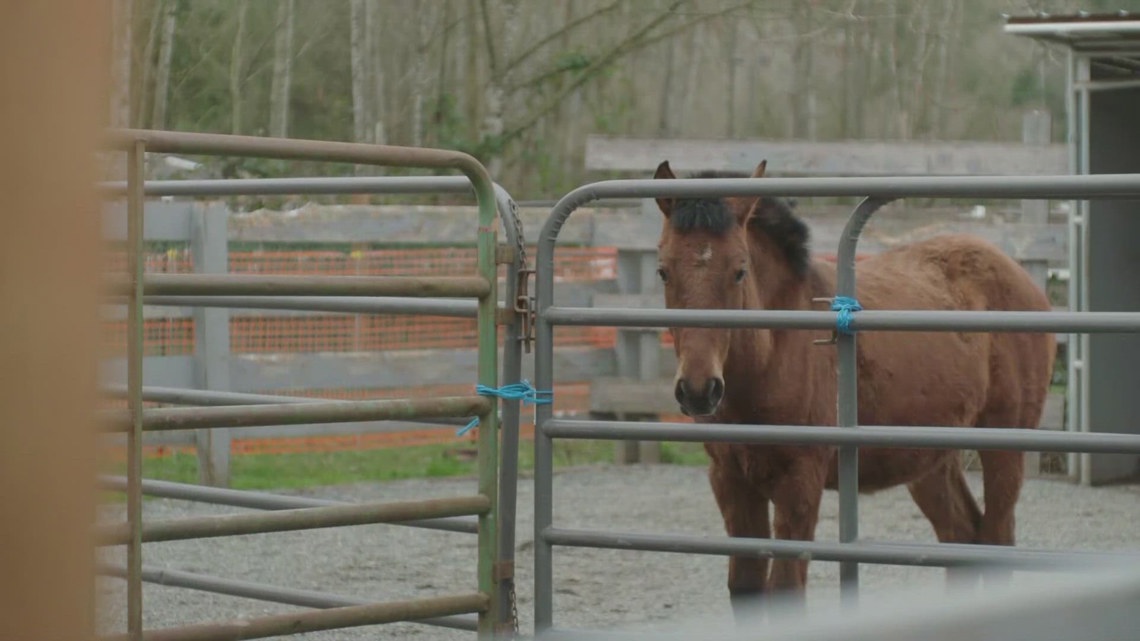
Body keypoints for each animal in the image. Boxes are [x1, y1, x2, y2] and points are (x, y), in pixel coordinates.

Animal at [650, 159, 1056, 620]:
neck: (776, 352)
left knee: (997, 539)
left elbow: (786, 589)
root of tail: (1019, 275)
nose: (699, 390)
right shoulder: (730, 481)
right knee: (963, 537)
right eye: (663, 270)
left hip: (1003, 446)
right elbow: (747, 587)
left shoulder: (800, 484)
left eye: (740, 269)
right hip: (930, 460)